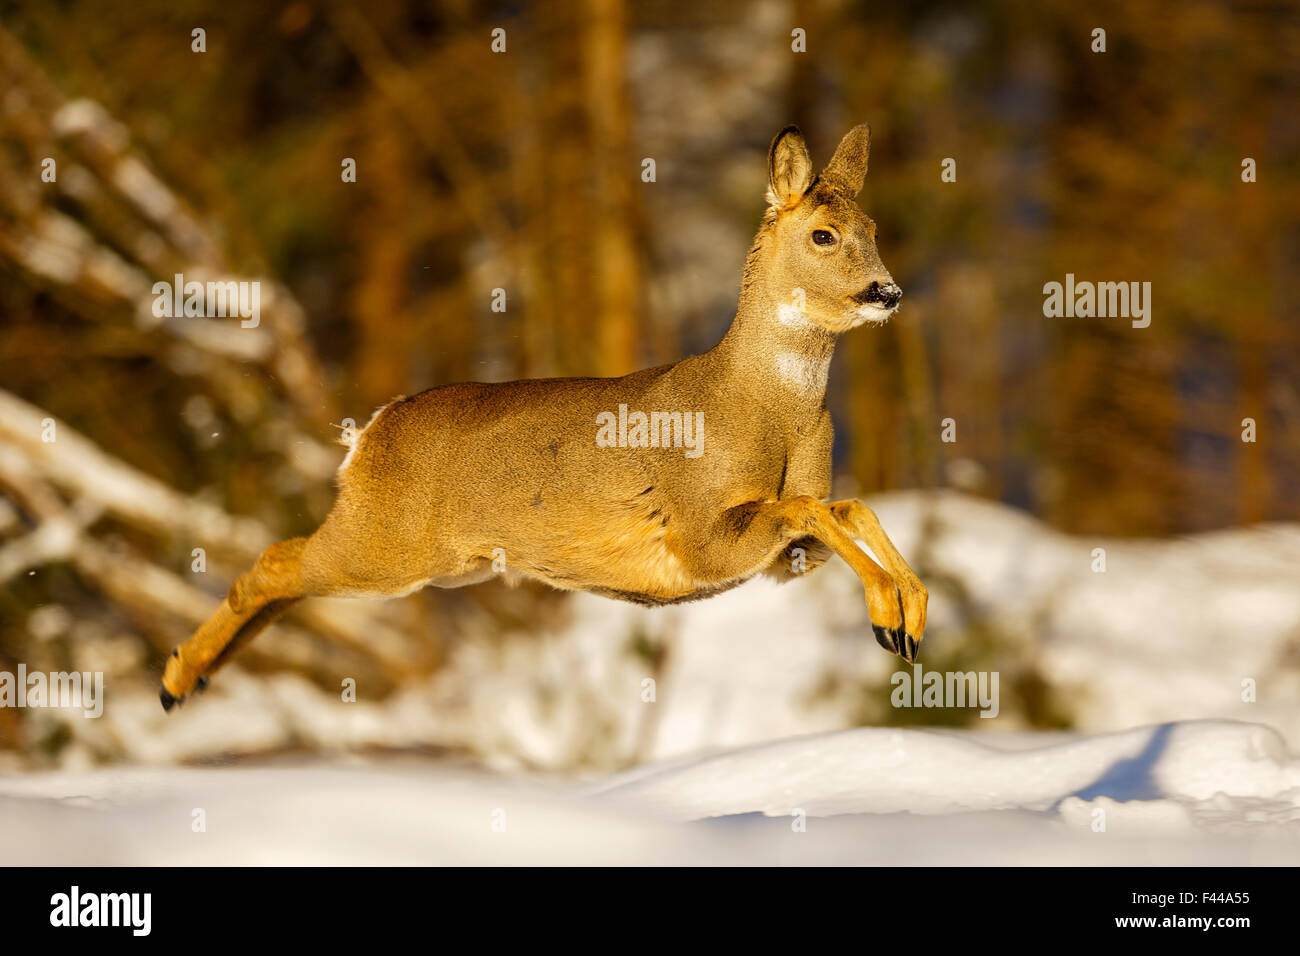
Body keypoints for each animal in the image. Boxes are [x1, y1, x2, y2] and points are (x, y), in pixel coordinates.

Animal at [160, 123, 929, 711]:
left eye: (874, 227)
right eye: (824, 234)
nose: (887, 292)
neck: (771, 412)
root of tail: (373, 430)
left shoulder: (780, 558)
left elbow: (843, 507)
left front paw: (909, 616)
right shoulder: (698, 533)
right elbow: (812, 507)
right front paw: (890, 612)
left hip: (441, 564)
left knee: (285, 579)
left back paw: (191, 680)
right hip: (385, 543)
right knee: (274, 561)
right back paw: (175, 679)